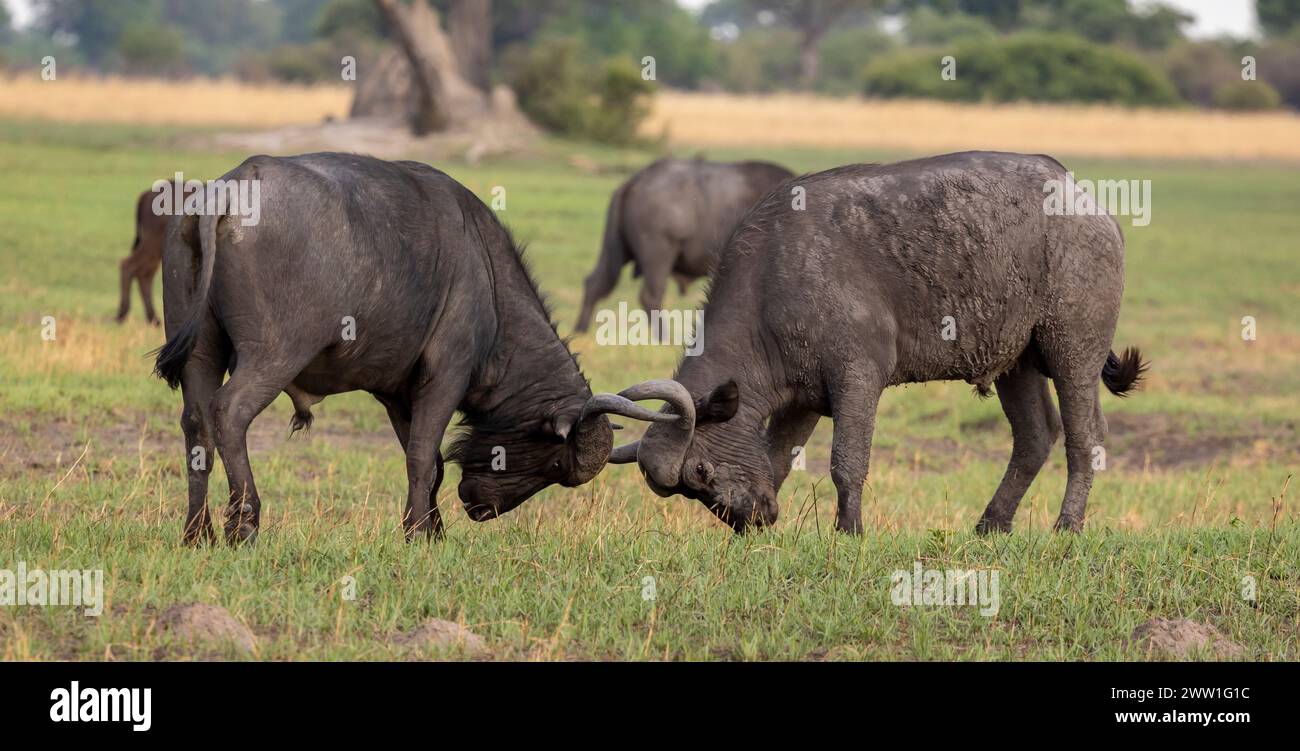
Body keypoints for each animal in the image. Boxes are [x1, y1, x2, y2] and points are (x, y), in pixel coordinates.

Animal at [154, 153, 668, 545]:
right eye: (558, 462)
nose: (482, 508)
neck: (486, 277)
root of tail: (230, 189)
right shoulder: (445, 375)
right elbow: (423, 455)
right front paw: (418, 531)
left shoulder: (398, 392)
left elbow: (430, 462)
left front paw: (432, 528)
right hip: (275, 354)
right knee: (229, 412)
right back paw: (244, 524)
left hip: (201, 352)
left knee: (197, 425)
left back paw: (197, 533)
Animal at [574, 157, 794, 333]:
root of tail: (636, 181)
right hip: (659, 255)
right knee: (650, 296)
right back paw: (664, 338)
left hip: (616, 249)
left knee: (596, 283)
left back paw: (581, 330)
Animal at [603, 151, 1147, 534]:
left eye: (699, 471)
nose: (750, 518)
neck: (771, 282)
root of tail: (1086, 203)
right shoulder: (801, 400)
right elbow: (777, 460)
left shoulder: (858, 379)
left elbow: (847, 463)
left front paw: (849, 532)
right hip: (1016, 362)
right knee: (1035, 437)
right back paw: (991, 525)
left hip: (1072, 353)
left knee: (1085, 438)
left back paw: (1067, 527)